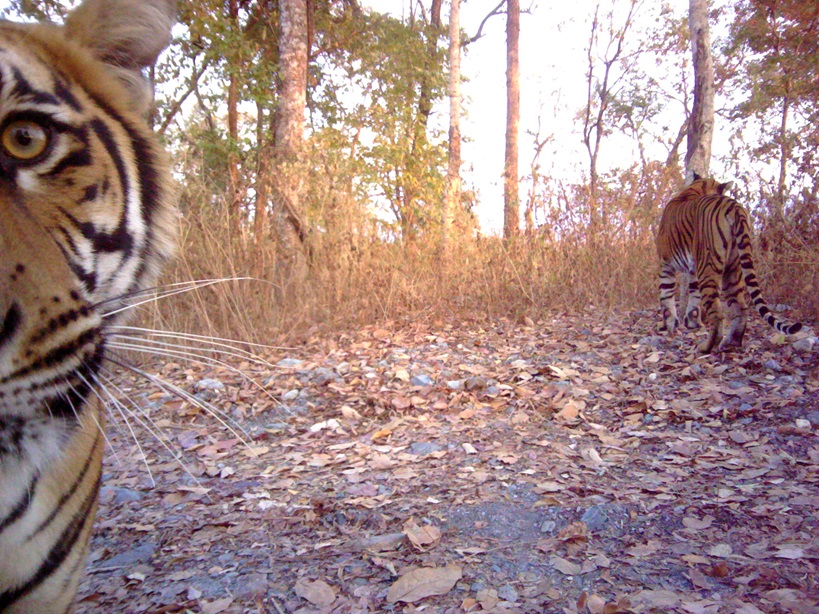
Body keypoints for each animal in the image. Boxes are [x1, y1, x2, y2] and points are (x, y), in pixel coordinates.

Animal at [656, 173, 802, 354]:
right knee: (741, 307)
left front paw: (669, 327)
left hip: (709, 267)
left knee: (717, 312)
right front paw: (691, 322)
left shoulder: (666, 263)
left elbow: (666, 296)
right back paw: (732, 342)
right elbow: (694, 298)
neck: (696, 188)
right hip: (733, 267)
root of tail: (734, 206)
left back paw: (707, 347)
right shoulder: (693, 269)